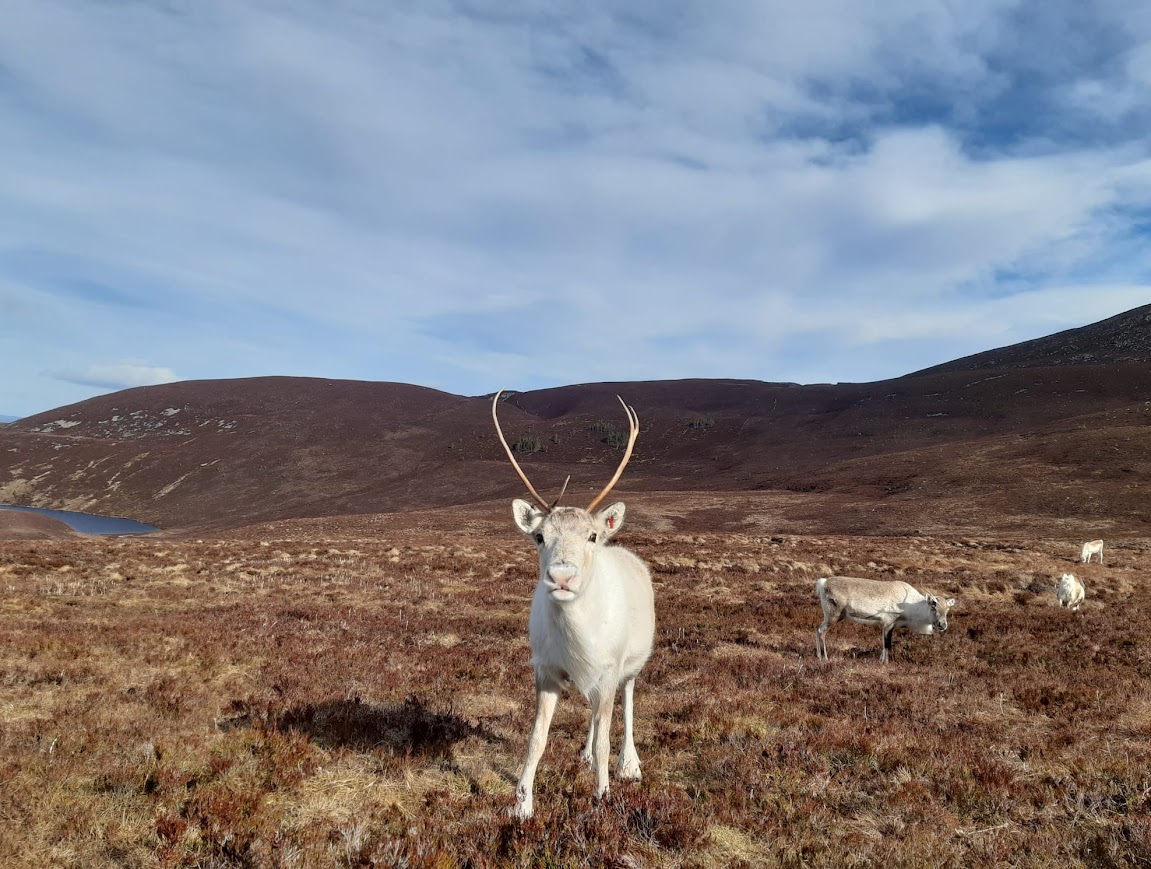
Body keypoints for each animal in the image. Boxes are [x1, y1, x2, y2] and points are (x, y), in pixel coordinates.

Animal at [492, 389, 655, 820]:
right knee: (593, 718)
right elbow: (536, 738)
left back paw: (628, 764)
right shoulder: (547, 671)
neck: (576, 638)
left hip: (630, 668)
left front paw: (603, 796)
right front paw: (522, 804)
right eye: (538, 536)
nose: (562, 577)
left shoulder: (609, 671)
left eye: (592, 535)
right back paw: (583, 756)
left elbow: (605, 738)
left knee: (626, 707)